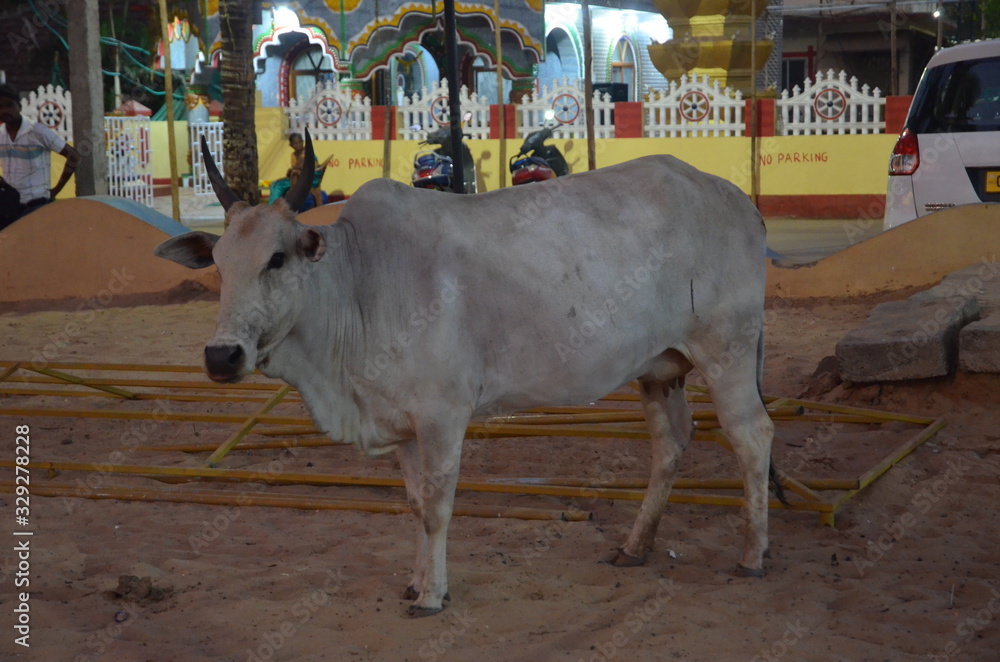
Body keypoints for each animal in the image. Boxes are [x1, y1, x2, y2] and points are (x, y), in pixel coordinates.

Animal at [154, 130, 776, 617]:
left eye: (277, 259)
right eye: (218, 265)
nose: (221, 356)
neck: (359, 282)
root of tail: (733, 196)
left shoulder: (442, 417)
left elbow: (436, 509)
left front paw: (433, 596)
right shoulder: (402, 424)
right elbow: (413, 505)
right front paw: (417, 581)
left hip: (728, 351)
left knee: (752, 436)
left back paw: (752, 555)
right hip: (658, 369)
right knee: (671, 444)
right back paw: (636, 545)